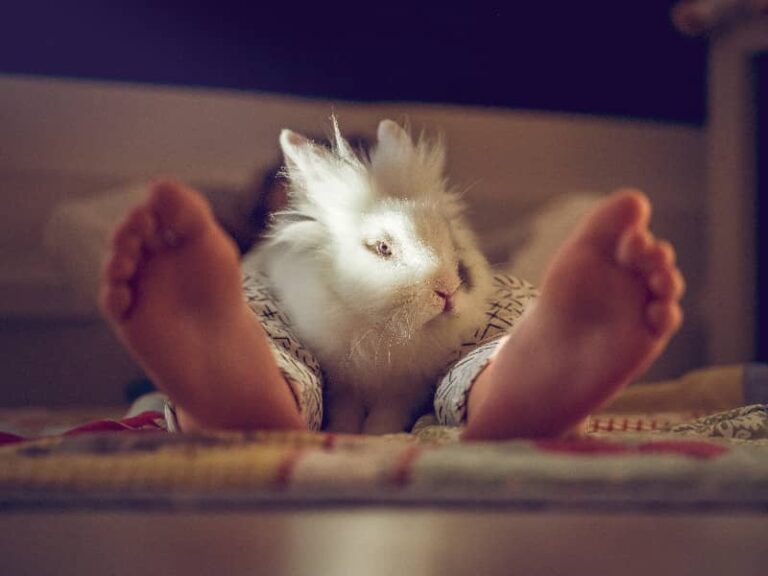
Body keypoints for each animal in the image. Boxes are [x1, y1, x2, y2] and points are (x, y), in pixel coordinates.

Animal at [249, 118, 494, 434]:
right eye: (383, 248)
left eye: (449, 236)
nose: (448, 290)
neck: (382, 330)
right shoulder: (342, 386)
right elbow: (346, 415)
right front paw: (344, 433)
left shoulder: (402, 392)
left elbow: (385, 419)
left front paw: (379, 434)